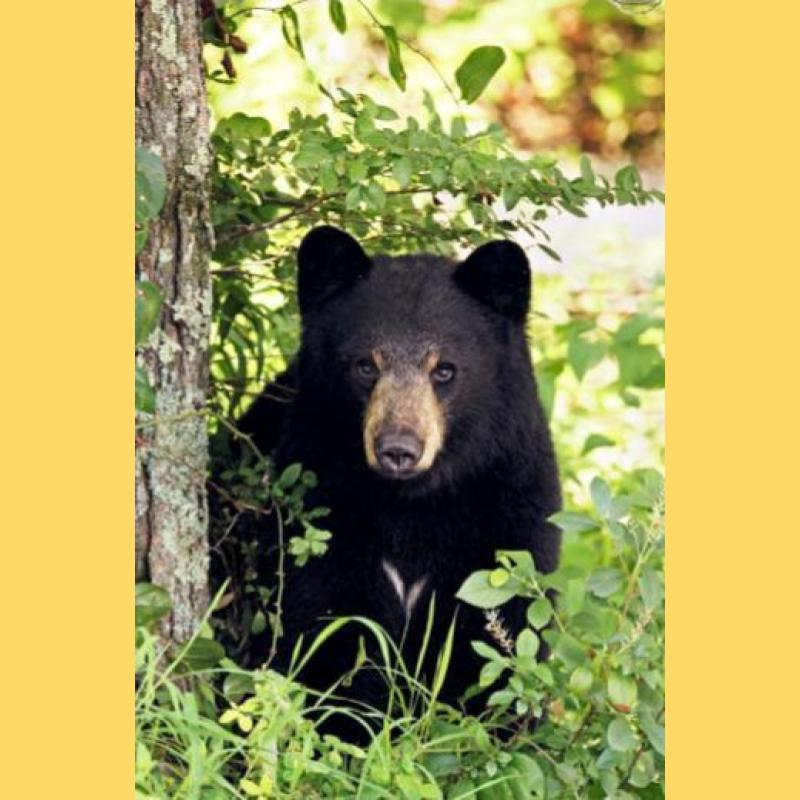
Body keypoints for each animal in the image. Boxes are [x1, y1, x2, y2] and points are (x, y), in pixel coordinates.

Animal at [236, 225, 562, 735]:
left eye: (444, 369)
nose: (398, 449)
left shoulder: (509, 518)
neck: (413, 504)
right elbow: (330, 637)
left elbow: (496, 646)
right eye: (365, 365)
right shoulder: (321, 514)